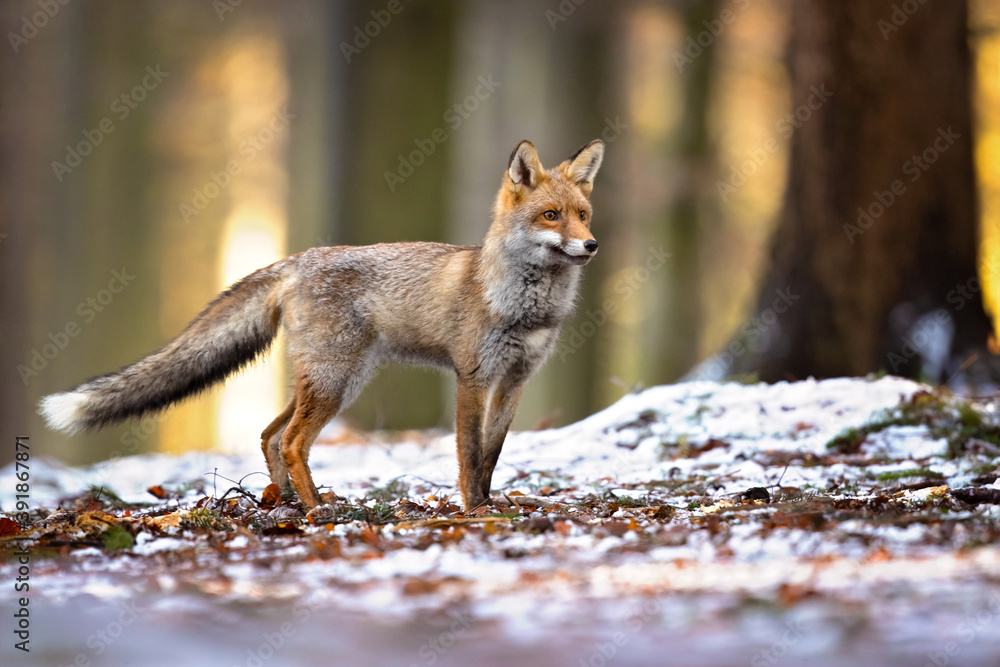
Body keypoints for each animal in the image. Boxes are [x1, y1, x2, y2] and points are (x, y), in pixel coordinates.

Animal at [39, 138, 605, 511]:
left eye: (583, 214)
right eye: (551, 216)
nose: (592, 245)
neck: (527, 304)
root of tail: (295, 259)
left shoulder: (515, 379)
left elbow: (492, 452)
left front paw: (491, 504)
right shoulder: (473, 375)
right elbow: (468, 454)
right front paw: (473, 512)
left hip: (333, 379)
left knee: (270, 435)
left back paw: (284, 502)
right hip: (337, 380)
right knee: (291, 441)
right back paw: (316, 512)